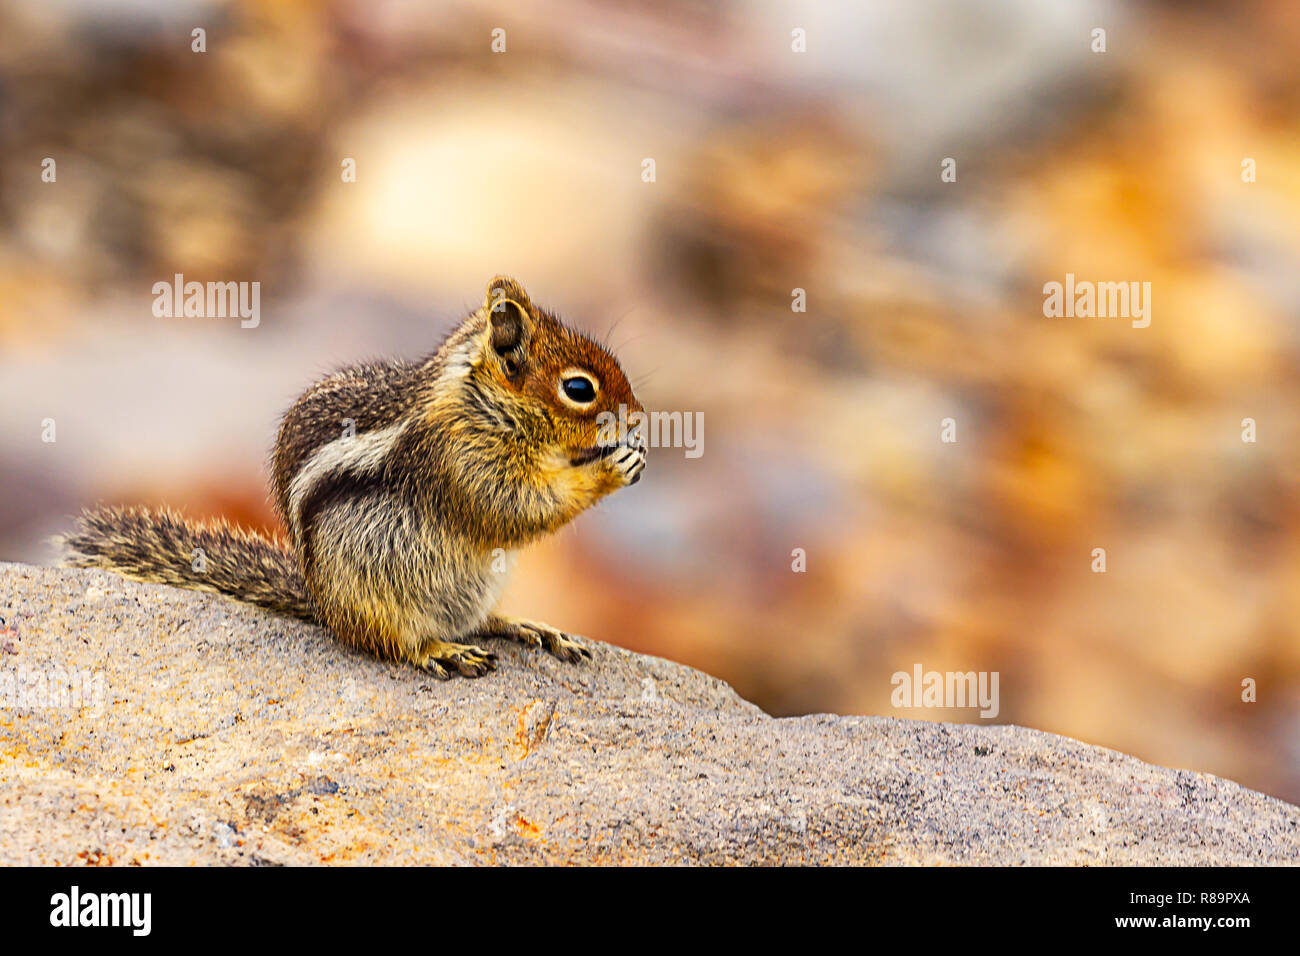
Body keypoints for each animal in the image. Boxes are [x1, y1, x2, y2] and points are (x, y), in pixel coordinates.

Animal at [62, 276, 647, 678]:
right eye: (578, 389)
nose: (640, 416)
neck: (478, 402)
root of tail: (322, 607)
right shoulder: (460, 461)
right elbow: (515, 508)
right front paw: (611, 468)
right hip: (373, 595)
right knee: (395, 644)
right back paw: (442, 650)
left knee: (475, 618)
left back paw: (526, 627)